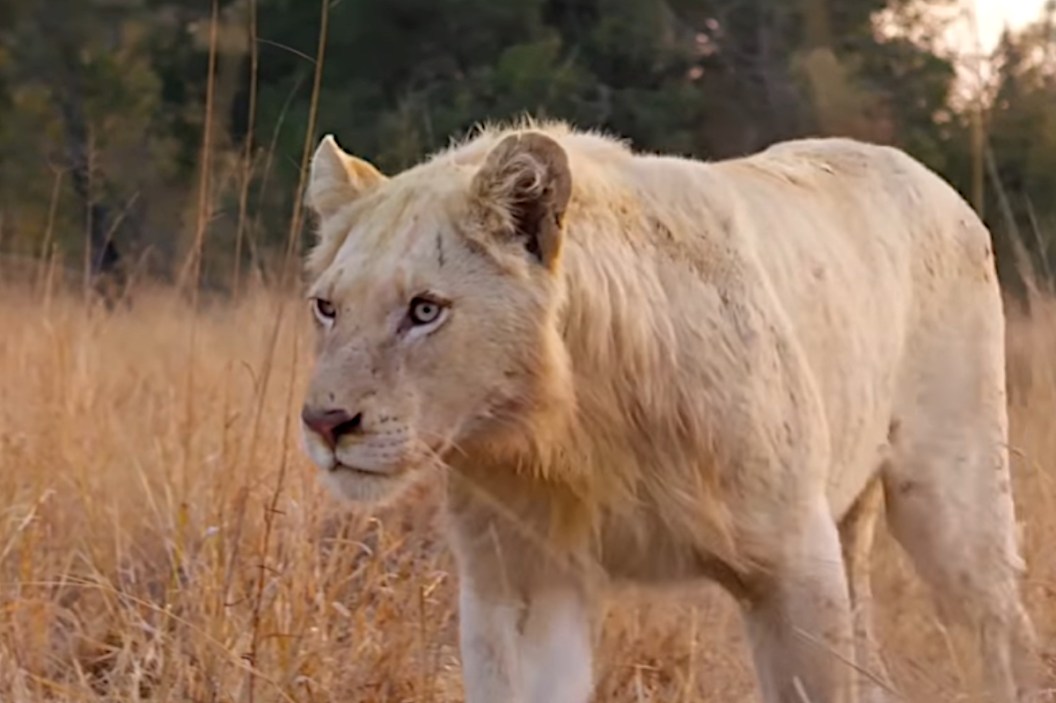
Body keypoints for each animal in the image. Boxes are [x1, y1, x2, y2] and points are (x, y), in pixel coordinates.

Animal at [298, 120, 1041, 703]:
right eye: (327, 307)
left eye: (425, 310)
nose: (326, 424)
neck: (569, 429)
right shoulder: (519, 577)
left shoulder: (795, 564)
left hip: (950, 497)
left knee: (1001, 629)